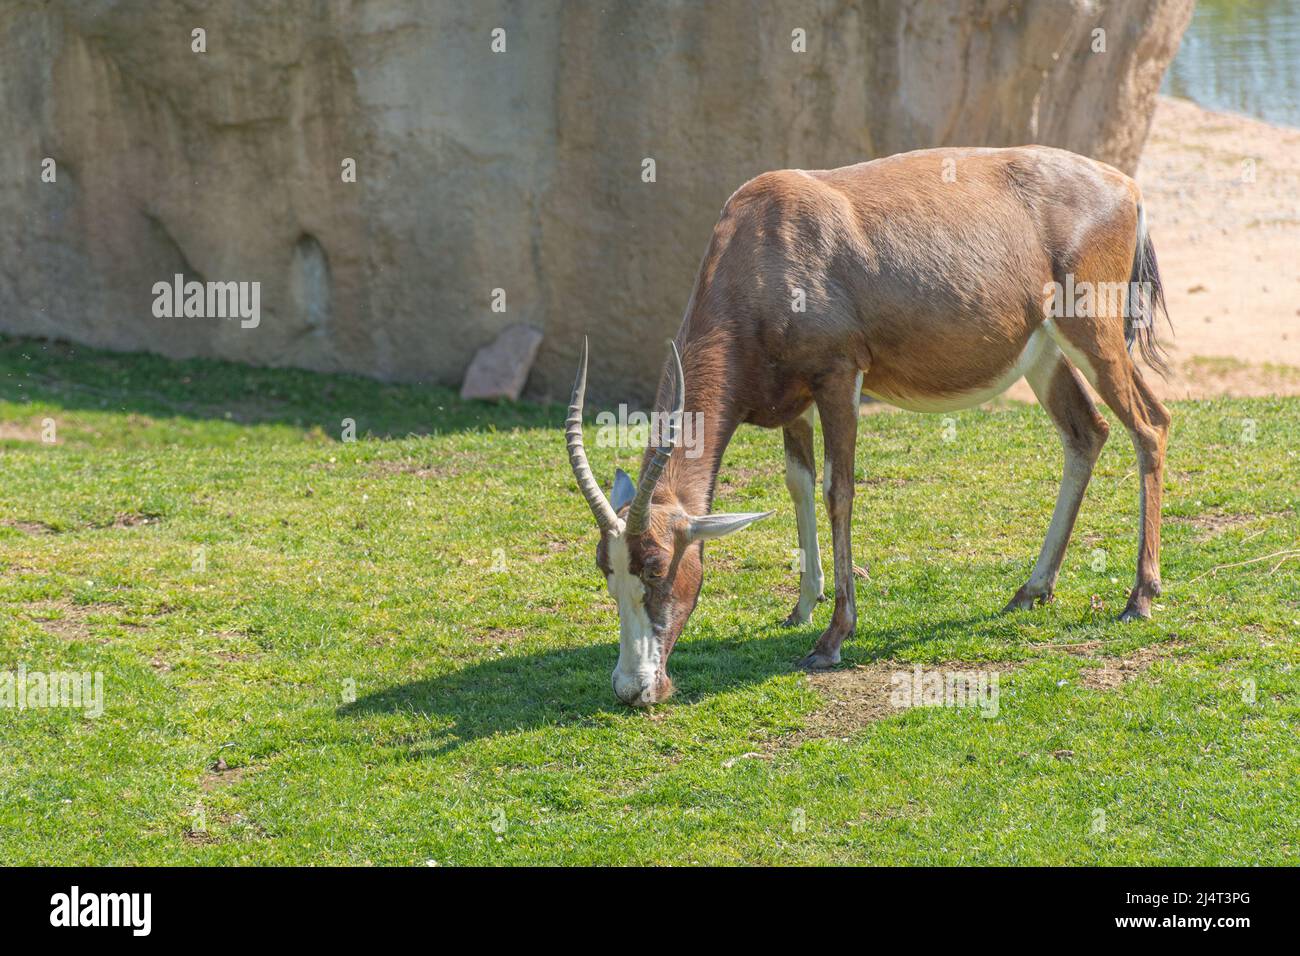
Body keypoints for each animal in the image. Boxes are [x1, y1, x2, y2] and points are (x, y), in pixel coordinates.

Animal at [566, 145, 1172, 707]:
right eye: (606, 569)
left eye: (656, 567)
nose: (633, 688)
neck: (765, 237)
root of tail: (1125, 188)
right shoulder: (796, 404)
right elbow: (799, 484)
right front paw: (801, 607)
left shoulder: (839, 378)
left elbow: (839, 492)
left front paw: (833, 639)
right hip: (1044, 351)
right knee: (1086, 432)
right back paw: (1031, 590)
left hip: (1092, 332)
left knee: (1151, 425)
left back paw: (1139, 598)